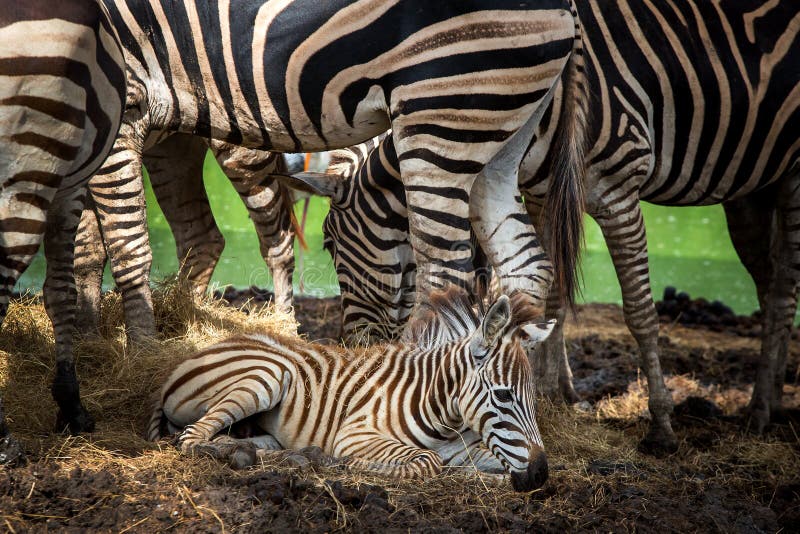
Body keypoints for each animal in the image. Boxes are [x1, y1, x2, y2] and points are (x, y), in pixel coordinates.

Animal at [73, 133, 297, 334]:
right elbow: (87, 253)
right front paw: (87, 336)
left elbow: (124, 251)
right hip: (173, 151)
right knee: (202, 239)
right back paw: (187, 317)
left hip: (243, 153)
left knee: (278, 242)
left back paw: (284, 330)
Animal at [147, 286, 557, 491]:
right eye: (503, 395)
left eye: (532, 400)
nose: (540, 475)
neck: (440, 408)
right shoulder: (356, 435)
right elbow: (427, 462)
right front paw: (351, 464)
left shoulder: (463, 448)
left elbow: (470, 461)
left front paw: (489, 476)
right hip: (267, 376)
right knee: (192, 438)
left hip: (264, 425)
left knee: (238, 442)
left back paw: (283, 455)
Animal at [291, 0, 800, 453]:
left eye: (329, 245)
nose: (352, 345)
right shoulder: (536, 194)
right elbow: (545, 297)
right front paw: (550, 392)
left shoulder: (617, 191)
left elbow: (638, 312)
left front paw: (660, 426)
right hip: (752, 190)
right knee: (770, 279)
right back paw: (772, 401)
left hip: (792, 175)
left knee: (783, 288)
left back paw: (761, 413)